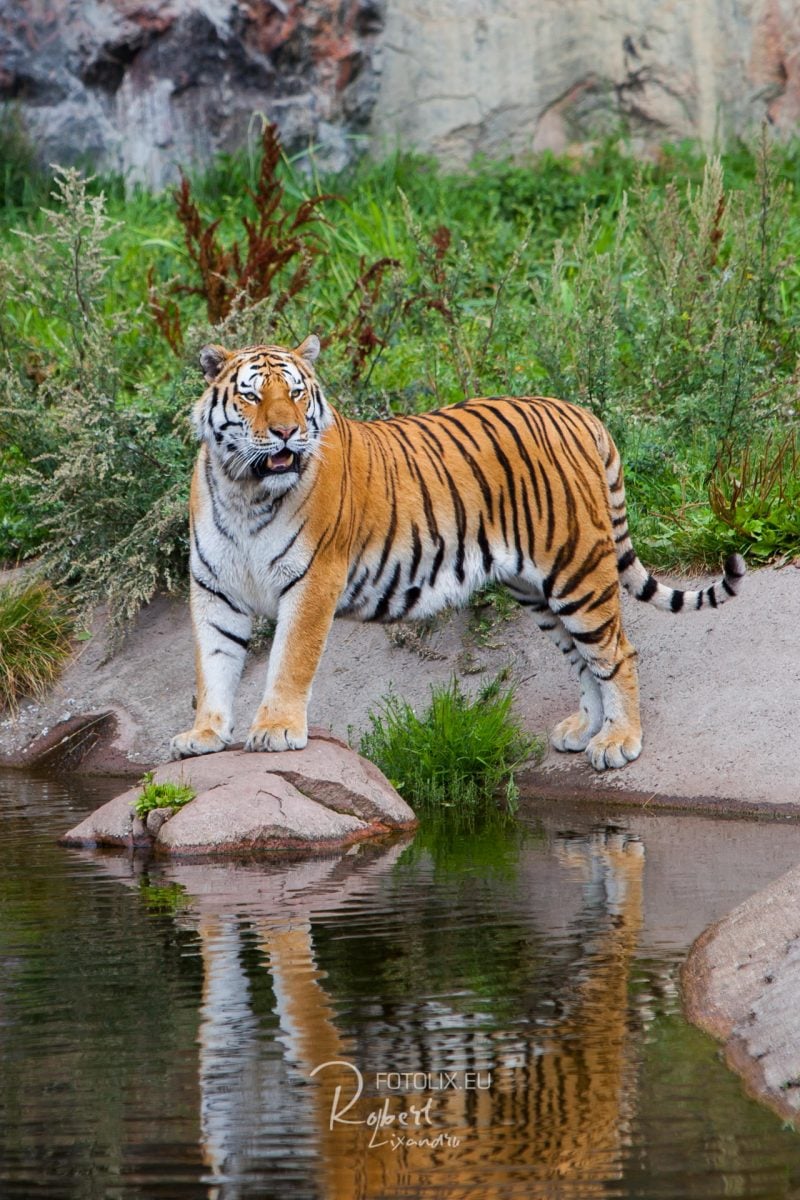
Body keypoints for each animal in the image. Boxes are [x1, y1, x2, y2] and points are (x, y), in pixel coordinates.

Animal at [170, 336, 745, 772]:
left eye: (294, 393)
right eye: (251, 397)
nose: (287, 431)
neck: (245, 491)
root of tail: (578, 411)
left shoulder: (312, 581)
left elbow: (290, 661)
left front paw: (276, 730)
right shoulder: (214, 589)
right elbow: (212, 664)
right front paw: (203, 736)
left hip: (577, 569)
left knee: (616, 653)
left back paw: (619, 742)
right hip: (536, 589)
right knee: (582, 658)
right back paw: (585, 730)